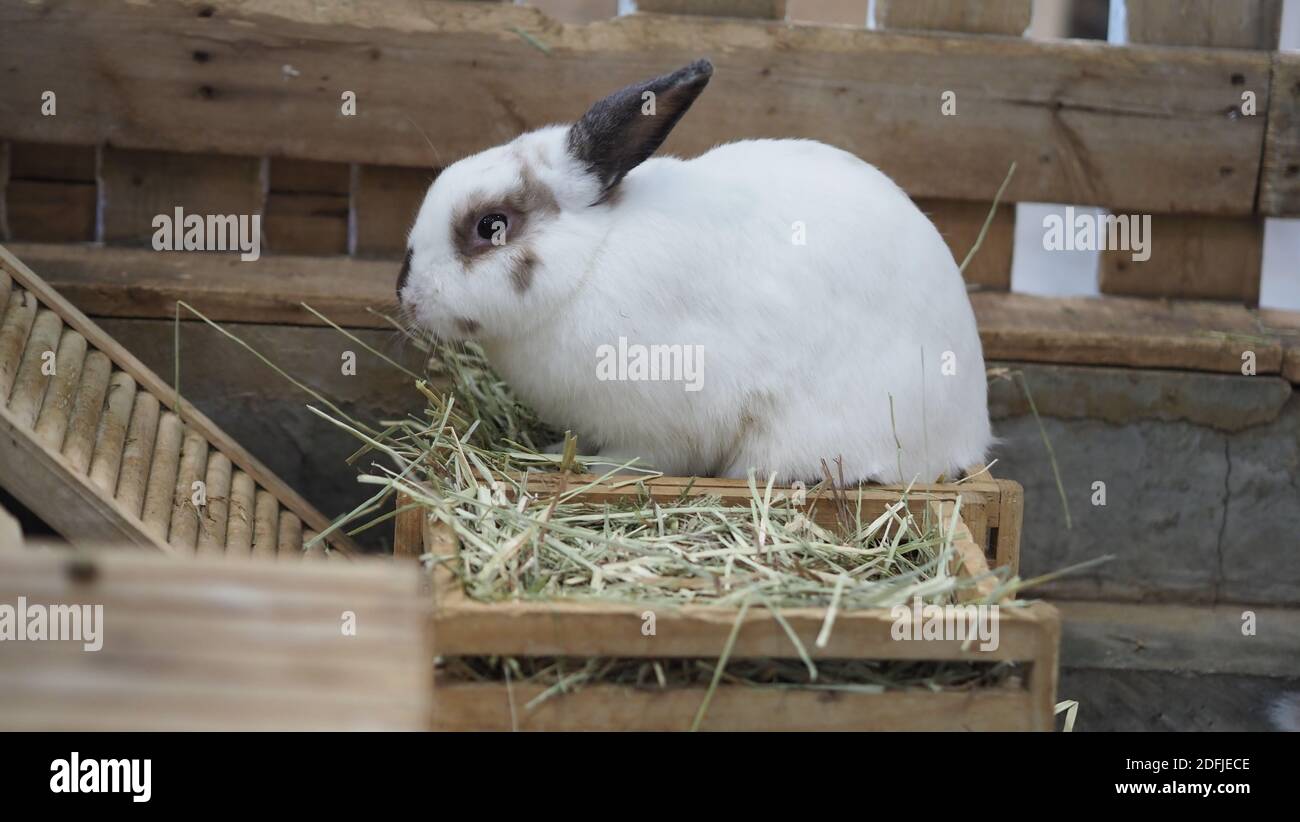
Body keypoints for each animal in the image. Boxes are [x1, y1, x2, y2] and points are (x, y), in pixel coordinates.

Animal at [398, 58, 992, 485]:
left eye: (491, 226)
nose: (406, 295)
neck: (589, 263)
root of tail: (970, 432)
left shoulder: (665, 419)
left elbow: (642, 458)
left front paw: (591, 469)